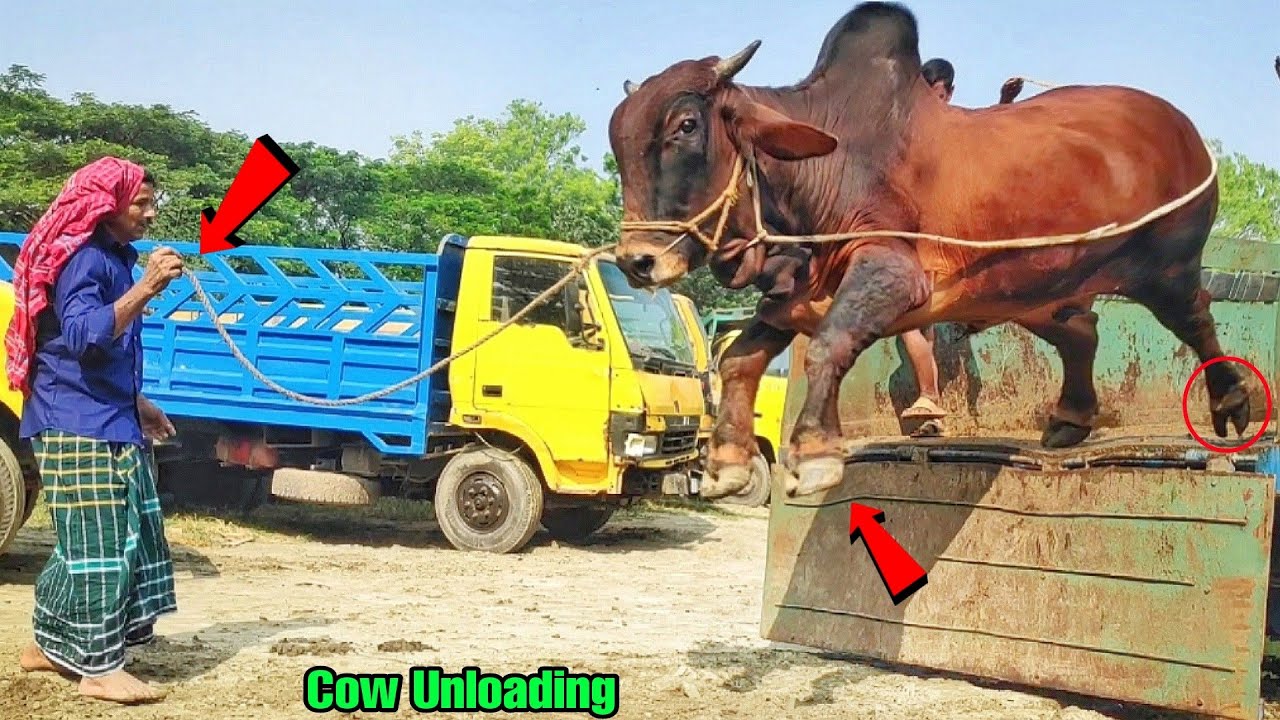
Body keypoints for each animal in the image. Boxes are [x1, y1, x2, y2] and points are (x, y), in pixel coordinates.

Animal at [606, 1, 1247, 500]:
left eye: (686, 126)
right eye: (619, 141)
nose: (638, 260)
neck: (823, 169)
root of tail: (1182, 127)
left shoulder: (894, 272)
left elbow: (828, 346)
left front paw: (814, 453)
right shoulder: (795, 294)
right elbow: (739, 359)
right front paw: (726, 462)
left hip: (1164, 268)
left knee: (1196, 316)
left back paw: (1231, 402)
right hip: (1032, 292)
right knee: (1081, 332)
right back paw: (1070, 419)